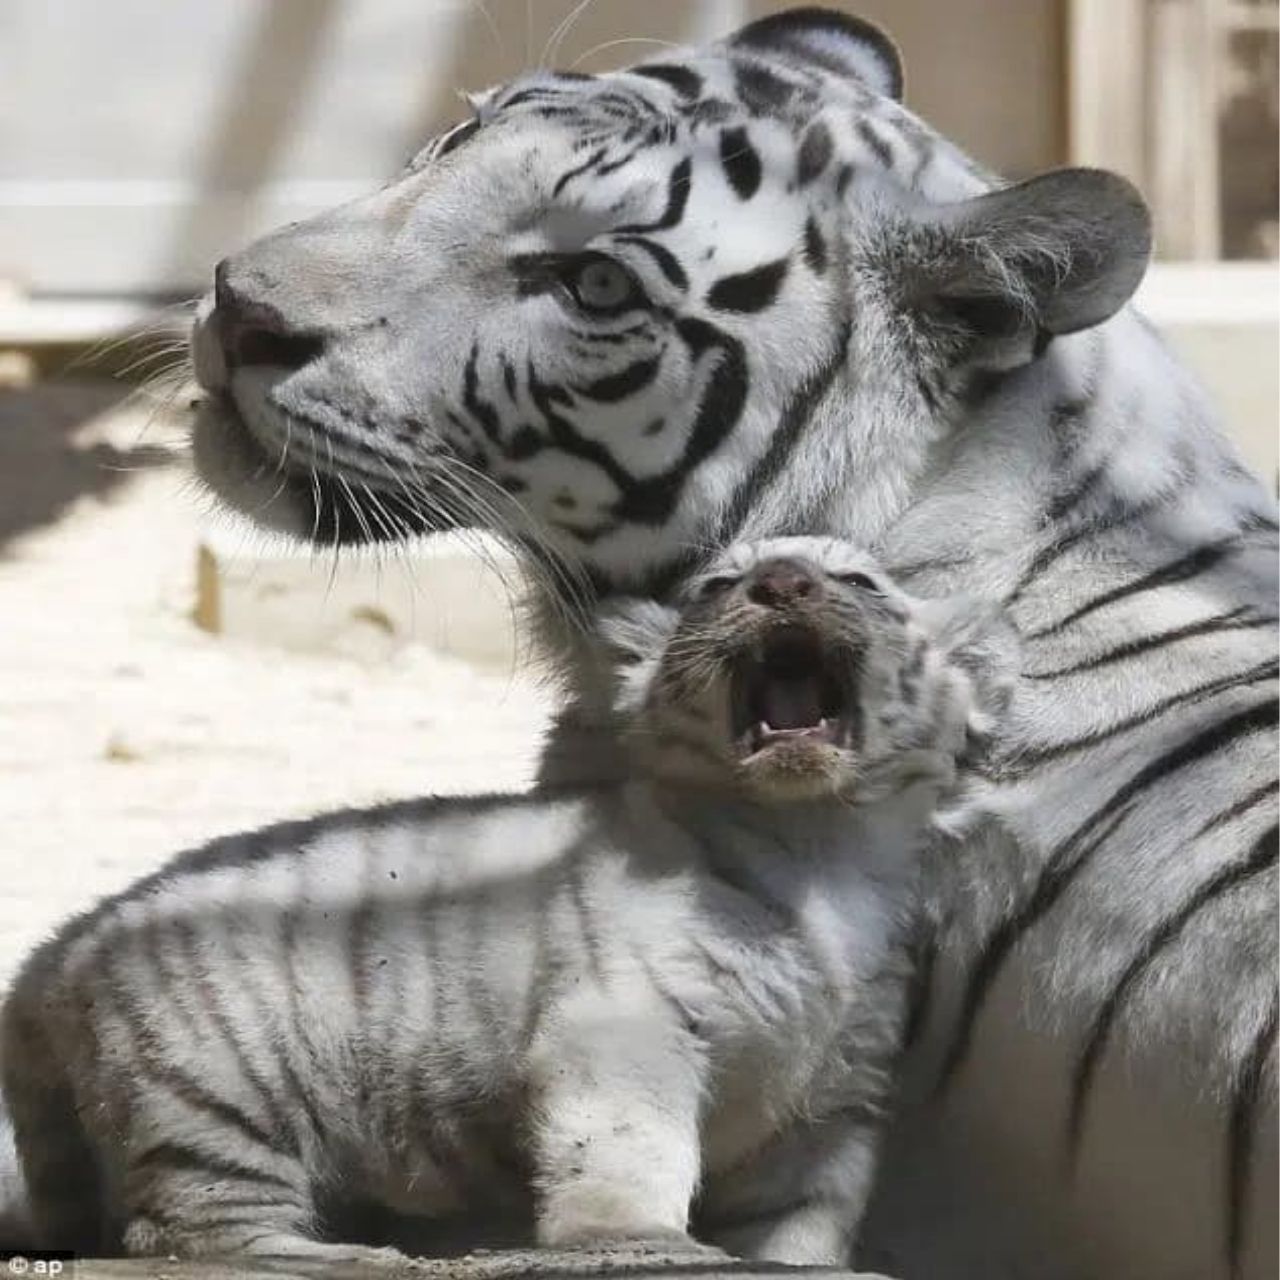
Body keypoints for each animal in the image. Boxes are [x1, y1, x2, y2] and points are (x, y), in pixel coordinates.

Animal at [1, 537, 1007, 1265]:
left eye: (858, 580)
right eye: (720, 583)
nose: (784, 583)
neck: (818, 844)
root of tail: (58, 948)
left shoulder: (837, 1087)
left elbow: (806, 1212)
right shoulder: (624, 1024)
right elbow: (630, 1145)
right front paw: (633, 1239)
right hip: (215, 1084)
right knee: (187, 1230)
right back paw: (349, 1257)